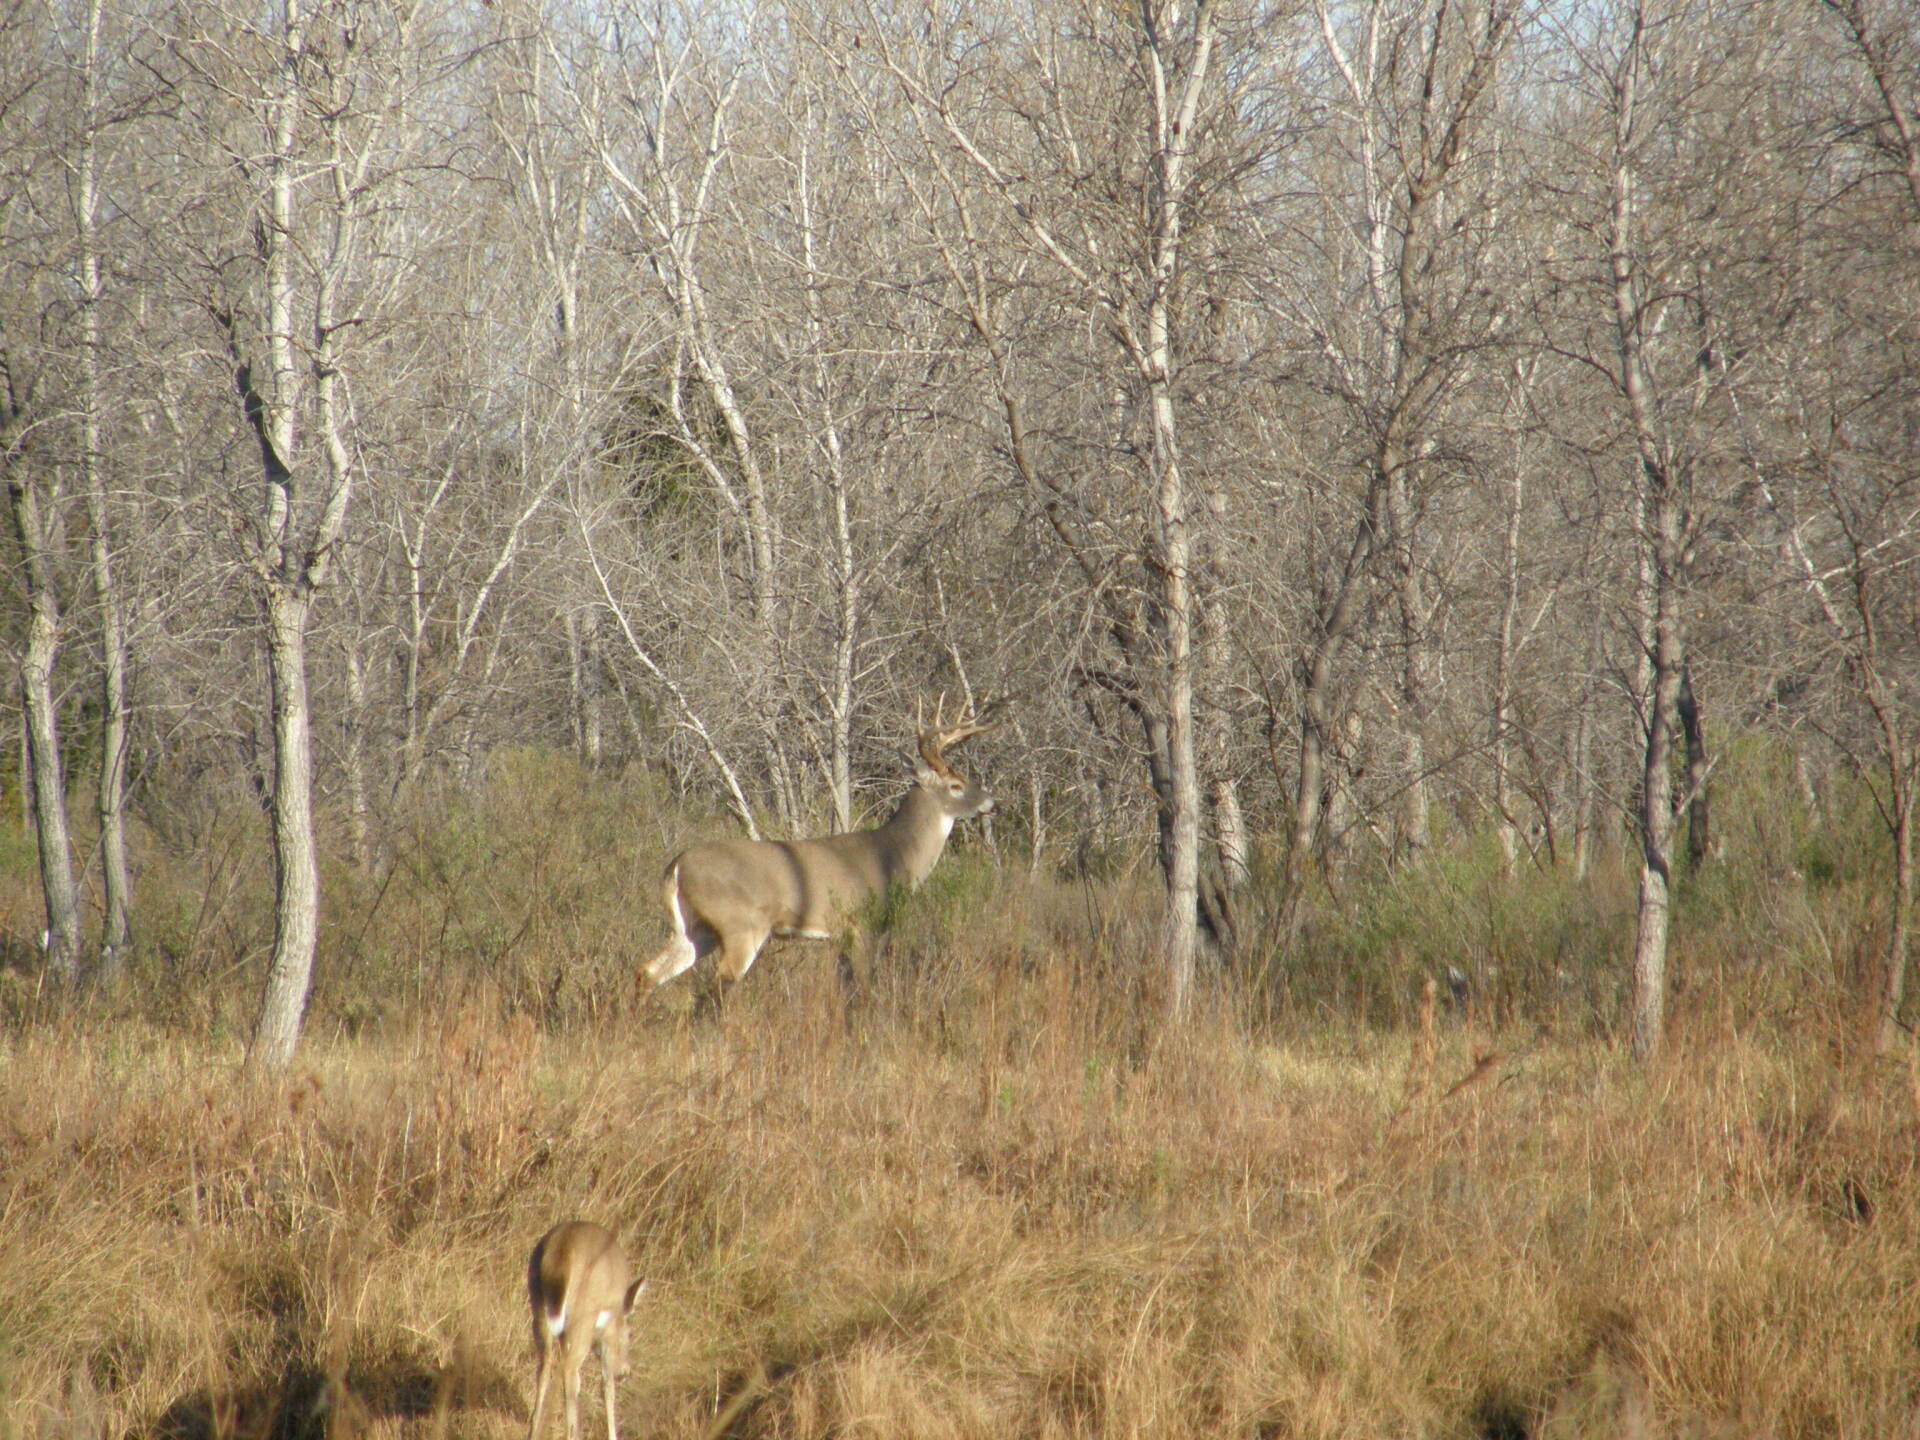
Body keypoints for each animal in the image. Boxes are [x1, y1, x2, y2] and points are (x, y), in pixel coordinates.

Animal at [525, 1221, 647, 1440]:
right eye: (630, 1334)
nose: (625, 1371)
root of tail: (560, 1250)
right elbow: (607, 1386)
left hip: (539, 1308)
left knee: (545, 1365)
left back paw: (534, 1431)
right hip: (582, 1319)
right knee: (570, 1372)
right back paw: (571, 1433)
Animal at [641, 699, 996, 997]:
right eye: (956, 785)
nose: (992, 803)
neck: (894, 855)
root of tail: (677, 865)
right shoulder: (861, 923)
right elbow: (863, 990)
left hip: (694, 927)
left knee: (648, 972)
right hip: (740, 925)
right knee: (715, 988)